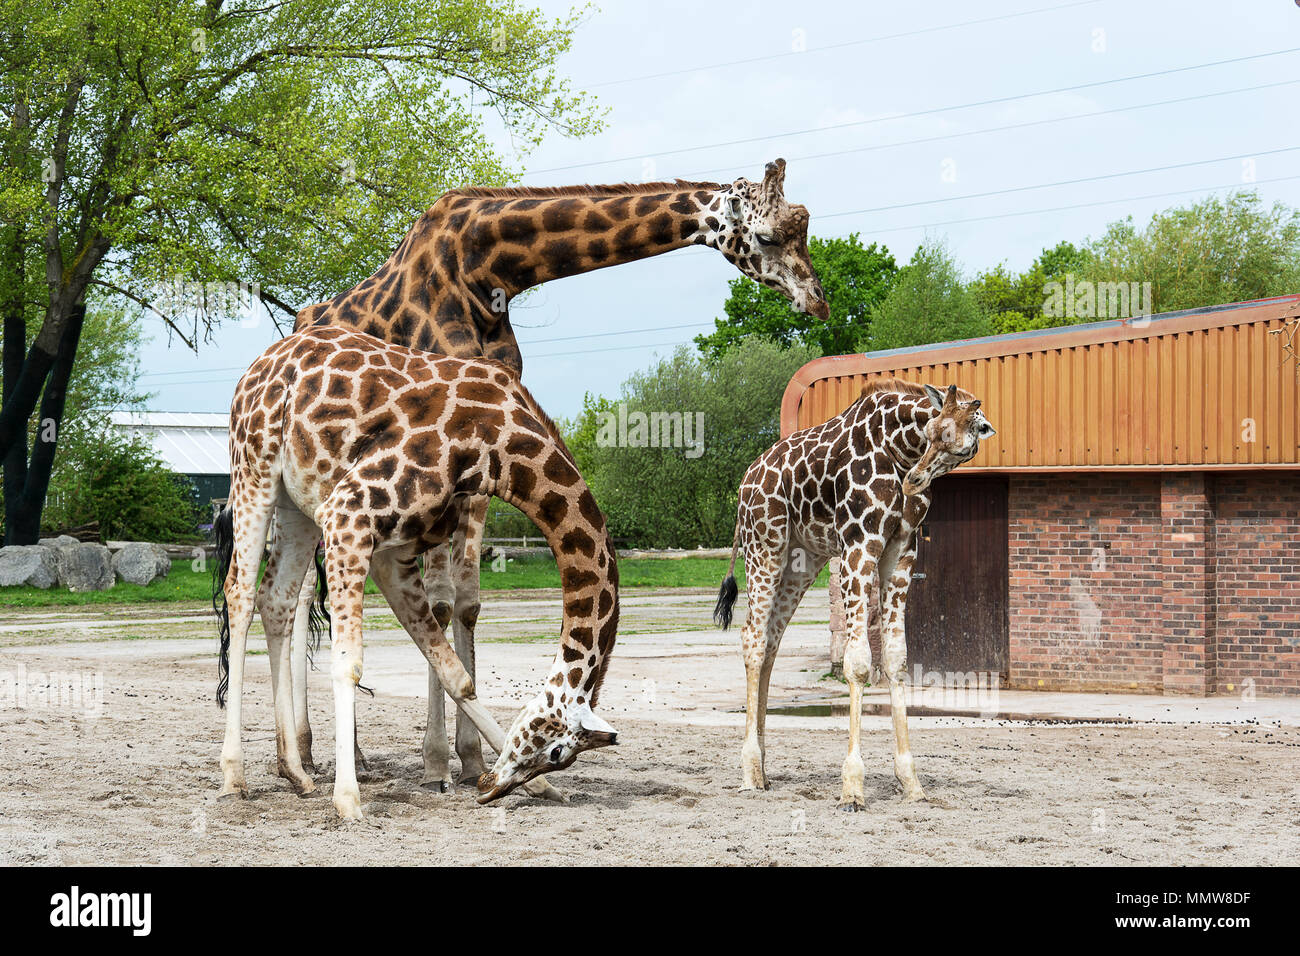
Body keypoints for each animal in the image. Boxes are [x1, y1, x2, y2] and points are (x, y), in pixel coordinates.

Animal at [213, 325, 620, 819]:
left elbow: (455, 672)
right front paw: (349, 799)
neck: (503, 444)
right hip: (254, 471)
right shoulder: (349, 512)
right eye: (558, 750)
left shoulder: (393, 552)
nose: (493, 789)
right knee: (240, 591)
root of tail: (258, 367)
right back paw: (234, 777)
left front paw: (537, 787)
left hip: (297, 503)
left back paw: (296, 773)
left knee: (277, 598)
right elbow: (349, 663)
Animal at [290, 158, 828, 790]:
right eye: (767, 236)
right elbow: (443, 604)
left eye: (804, 226)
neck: (486, 268)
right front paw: (436, 761)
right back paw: (308, 756)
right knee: (300, 596)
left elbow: (466, 602)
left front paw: (470, 757)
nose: (818, 302)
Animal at [713, 380, 995, 809]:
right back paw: (748, 773)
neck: (898, 450)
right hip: (765, 548)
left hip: (803, 559)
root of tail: (745, 484)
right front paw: (853, 787)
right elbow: (859, 663)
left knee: (773, 641)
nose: (915, 480)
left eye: (965, 440)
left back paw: (763, 772)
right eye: (932, 431)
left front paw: (911, 783)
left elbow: (896, 659)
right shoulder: (858, 546)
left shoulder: (901, 553)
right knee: (754, 638)